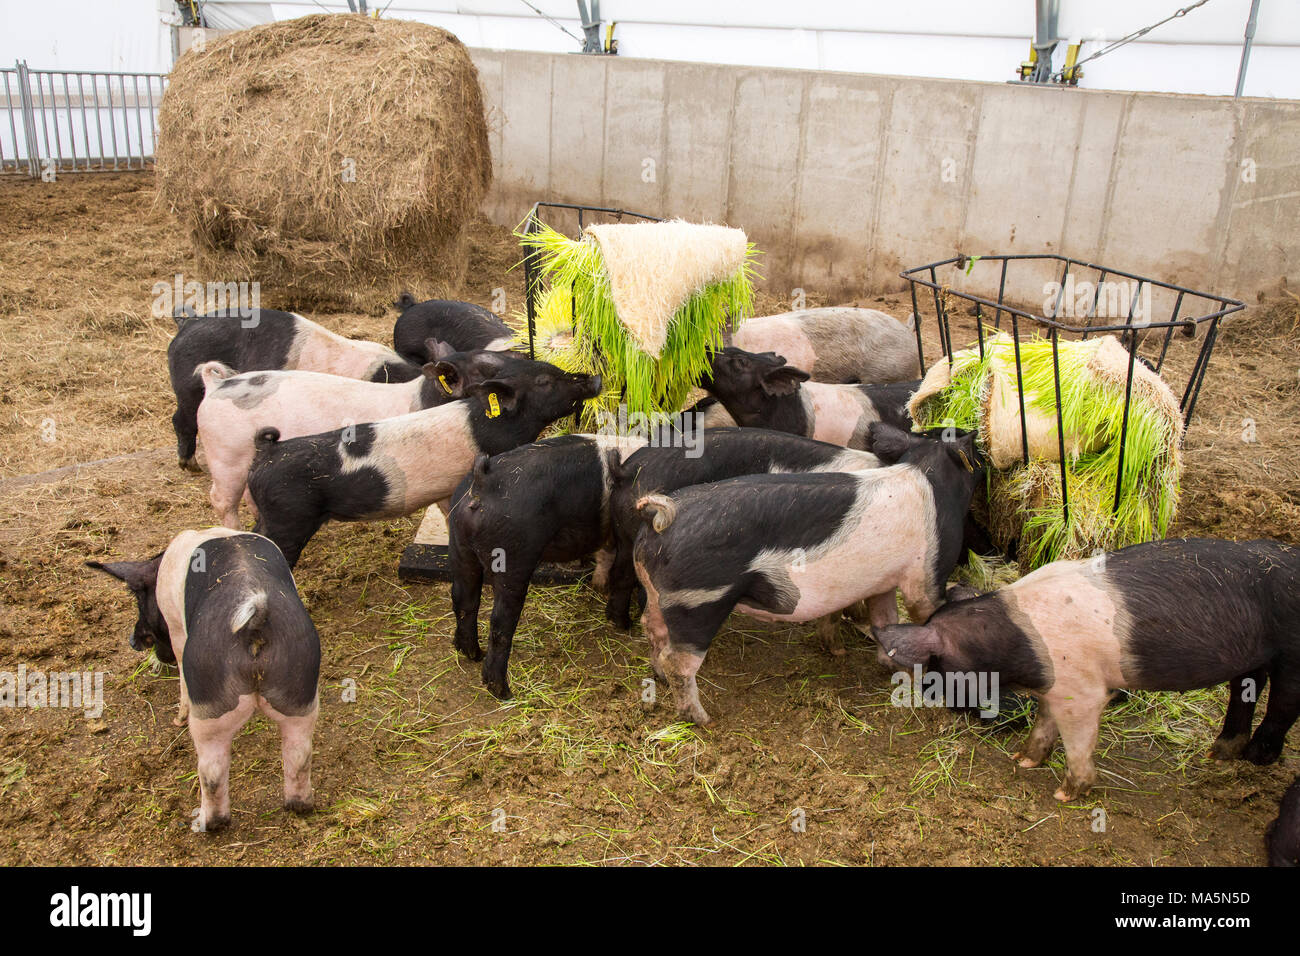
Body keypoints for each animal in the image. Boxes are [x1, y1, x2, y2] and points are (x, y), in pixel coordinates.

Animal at [87, 528, 320, 832]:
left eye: (139, 600)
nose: (133, 640)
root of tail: (255, 618)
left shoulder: (175, 626)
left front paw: (177, 720)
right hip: (300, 687)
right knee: (299, 755)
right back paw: (300, 805)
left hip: (210, 702)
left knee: (211, 770)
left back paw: (205, 823)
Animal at [448, 433, 649, 699]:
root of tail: (482, 481)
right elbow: (624, 575)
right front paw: (625, 625)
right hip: (513, 554)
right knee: (500, 622)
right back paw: (503, 692)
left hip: (459, 543)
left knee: (464, 600)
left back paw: (470, 653)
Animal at [633, 423, 984, 724]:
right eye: (978, 458)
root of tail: (663, 519)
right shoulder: (927, 574)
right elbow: (925, 615)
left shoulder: (884, 582)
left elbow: (885, 620)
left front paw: (883, 663)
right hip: (700, 600)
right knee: (678, 661)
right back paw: (703, 719)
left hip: (659, 593)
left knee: (651, 627)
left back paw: (659, 676)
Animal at [871, 537, 1300, 802]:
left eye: (935, 666)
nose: (931, 696)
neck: (1014, 644)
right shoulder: (1054, 686)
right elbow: (1043, 726)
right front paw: (1022, 761)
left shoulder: (1083, 692)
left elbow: (1077, 739)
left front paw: (1065, 794)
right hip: (1251, 656)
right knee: (1248, 686)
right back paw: (1219, 753)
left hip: (1291, 649)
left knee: (1284, 701)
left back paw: (1257, 758)